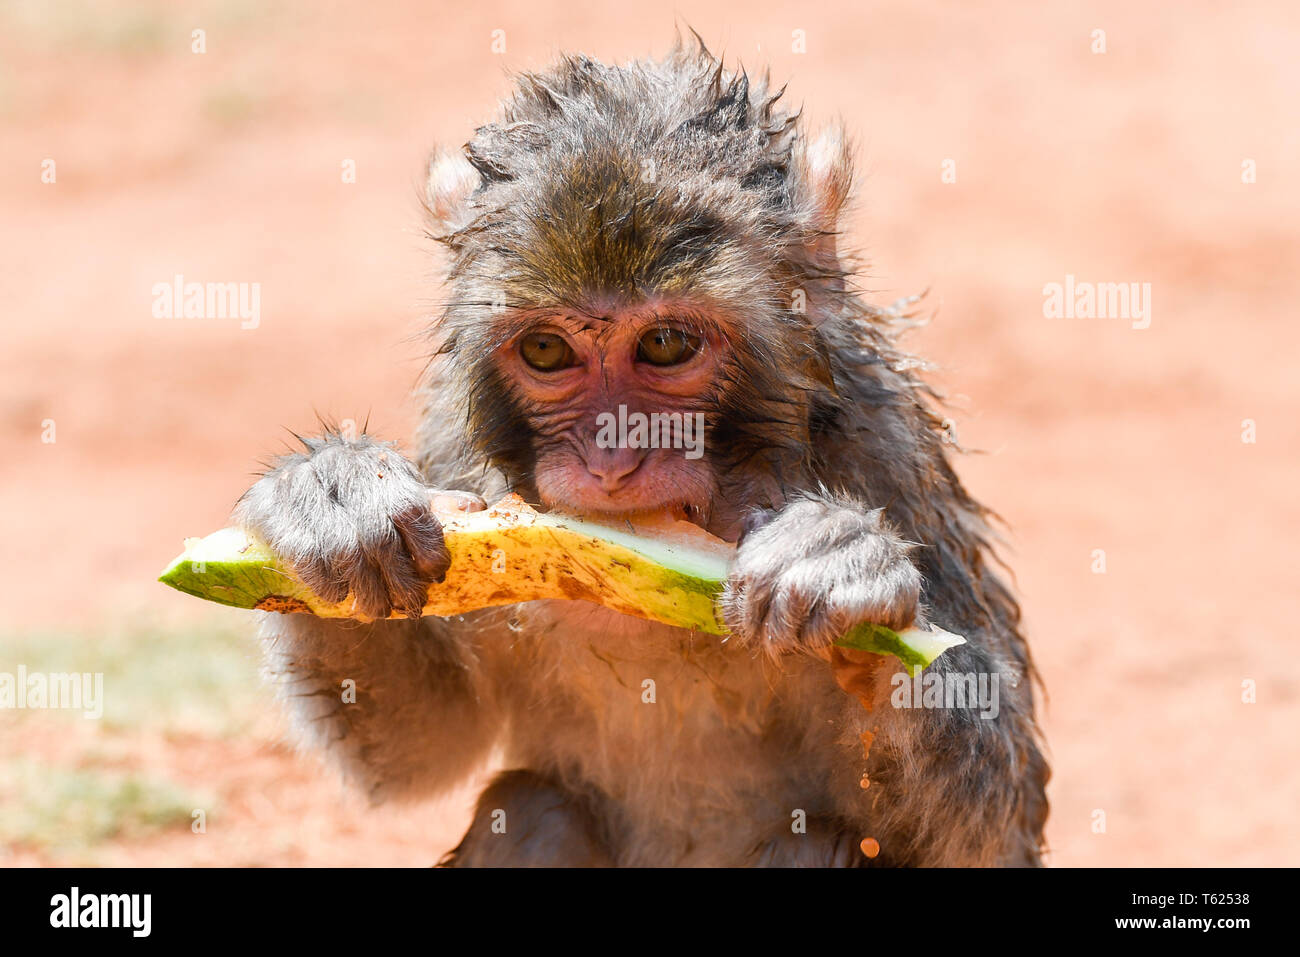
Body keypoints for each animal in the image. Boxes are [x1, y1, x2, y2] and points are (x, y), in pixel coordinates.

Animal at [234, 36, 1049, 867]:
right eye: (547, 350)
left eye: (664, 344)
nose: (610, 463)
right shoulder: (450, 454)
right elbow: (420, 746)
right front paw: (333, 498)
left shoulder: (886, 448)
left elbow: (993, 825)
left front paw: (842, 568)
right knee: (532, 807)